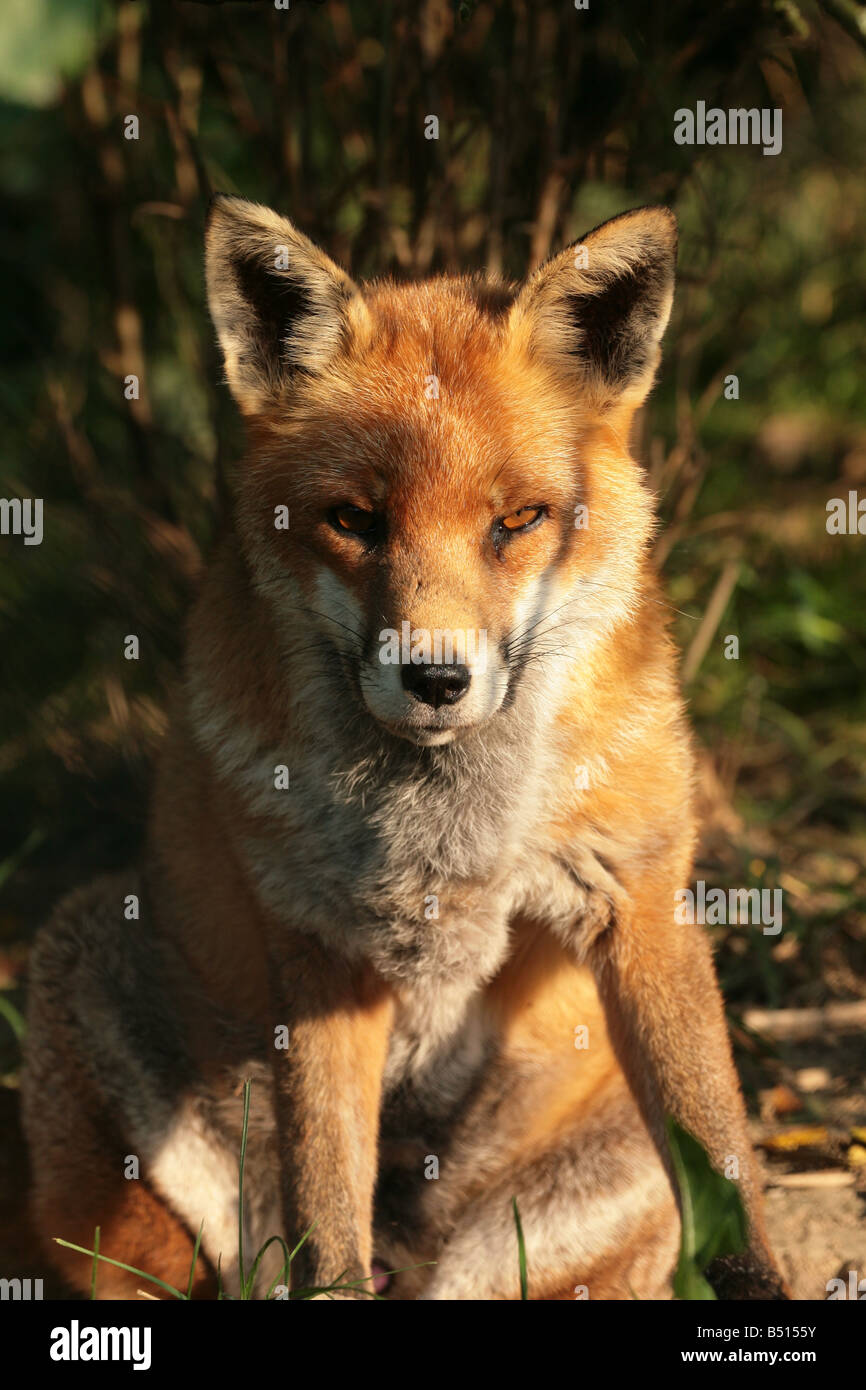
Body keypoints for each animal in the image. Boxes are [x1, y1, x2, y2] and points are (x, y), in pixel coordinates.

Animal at [21, 196, 788, 1301]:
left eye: (519, 520)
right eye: (353, 519)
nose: (434, 679)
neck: (452, 830)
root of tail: (414, 1239)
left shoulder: (638, 896)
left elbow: (724, 1182)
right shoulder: (323, 946)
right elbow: (325, 1216)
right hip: (93, 1015)